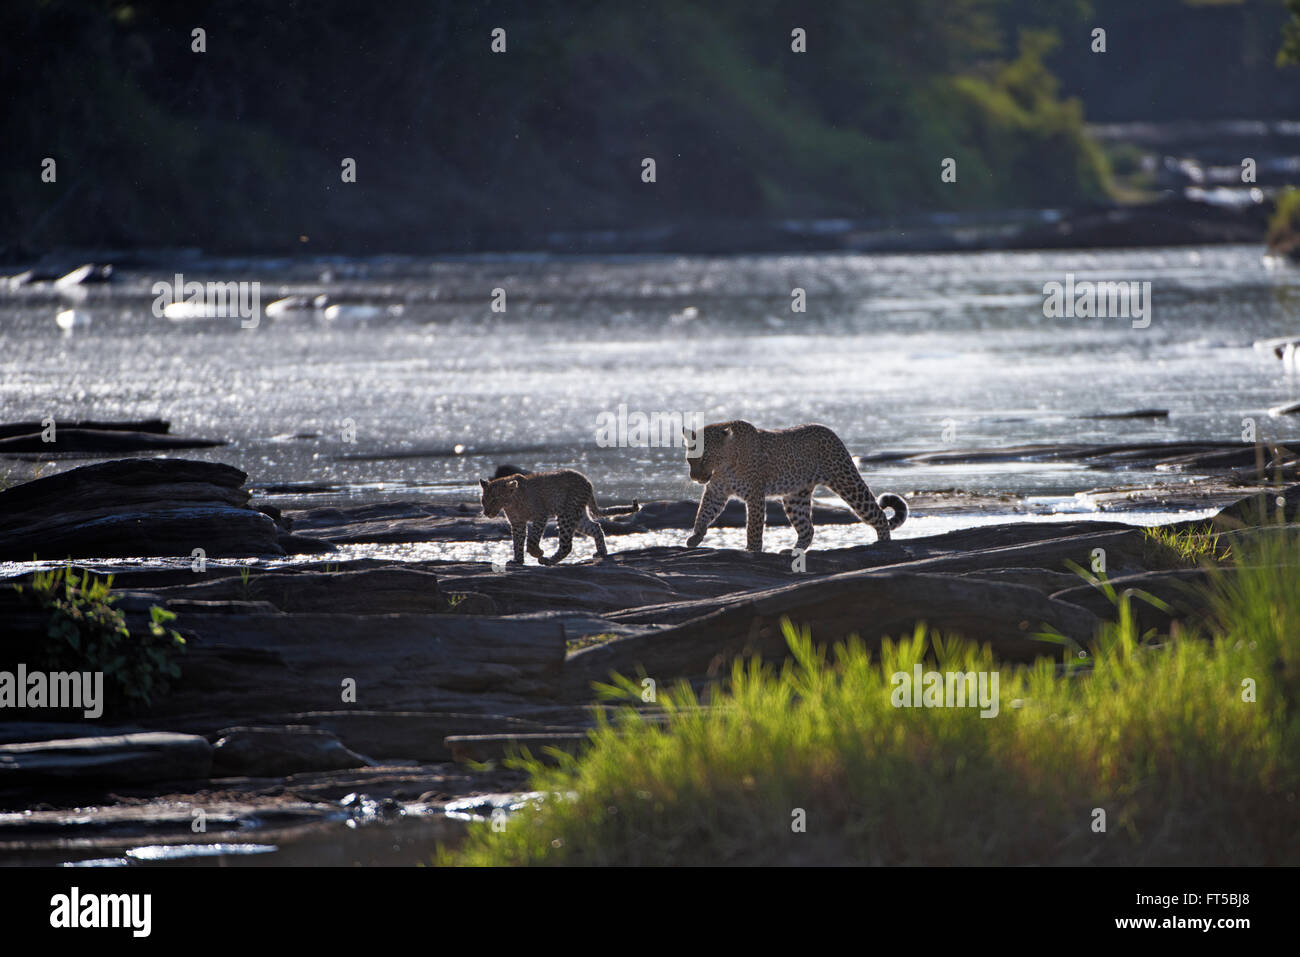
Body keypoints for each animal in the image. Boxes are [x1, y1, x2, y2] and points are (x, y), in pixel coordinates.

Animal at [479, 469, 639, 566]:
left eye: (495, 499)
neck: (511, 503)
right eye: (484, 500)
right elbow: (517, 542)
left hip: (566, 515)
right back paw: (601, 552)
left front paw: (537, 552)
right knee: (596, 527)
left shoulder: (540, 516)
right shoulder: (517, 523)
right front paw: (517, 560)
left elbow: (532, 539)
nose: (486, 513)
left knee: (567, 545)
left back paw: (548, 560)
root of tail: (587, 481)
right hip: (578, 515)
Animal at [681, 419, 907, 554]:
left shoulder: (754, 495)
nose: (694, 477)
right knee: (807, 528)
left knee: (877, 514)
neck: (724, 466)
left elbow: (753, 526)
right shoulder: (716, 492)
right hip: (795, 496)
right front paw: (696, 536)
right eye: (689, 459)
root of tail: (830, 432)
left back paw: (884, 544)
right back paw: (793, 551)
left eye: (704, 458)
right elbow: (703, 513)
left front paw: (752, 550)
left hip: (846, 481)